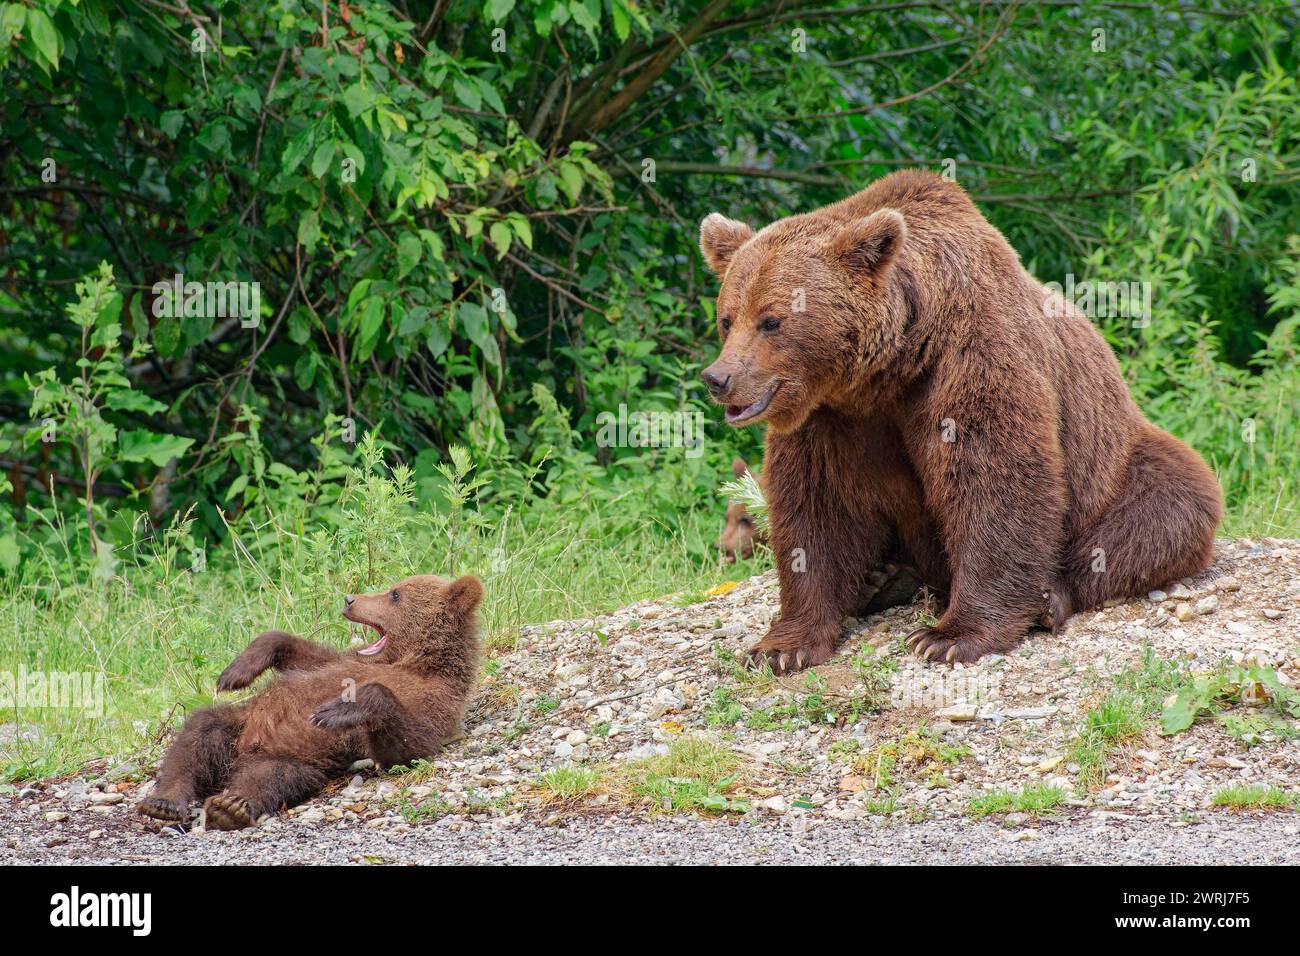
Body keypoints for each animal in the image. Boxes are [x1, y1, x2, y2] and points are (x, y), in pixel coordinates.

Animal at [137, 573, 483, 829]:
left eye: (395, 595)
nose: (349, 599)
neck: (413, 660)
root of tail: (243, 753)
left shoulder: (434, 699)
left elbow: (406, 749)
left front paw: (338, 709)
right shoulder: (342, 661)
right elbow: (305, 654)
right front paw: (237, 671)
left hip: (296, 759)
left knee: (270, 777)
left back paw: (231, 807)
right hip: (240, 724)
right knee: (198, 733)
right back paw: (165, 801)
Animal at [698, 168, 1222, 673]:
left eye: (771, 320)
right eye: (727, 318)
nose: (718, 377)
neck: (889, 370)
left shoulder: (970, 359)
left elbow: (995, 481)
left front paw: (948, 637)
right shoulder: (827, 417)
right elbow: (816, 510)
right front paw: (781, 647)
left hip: (1116, 459)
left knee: (1165, 506)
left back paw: (1049, 597)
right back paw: (881, 581)